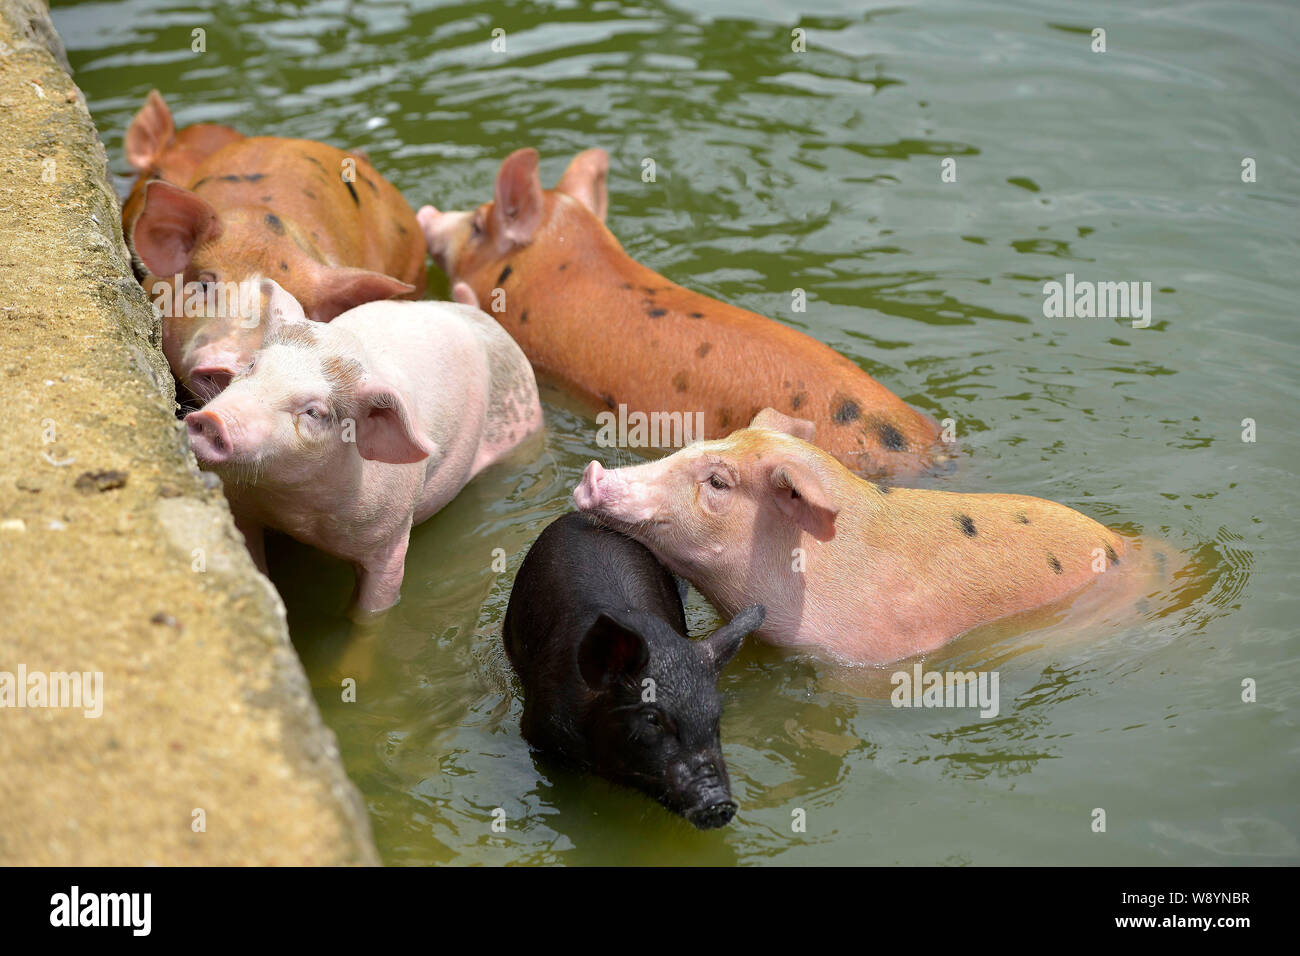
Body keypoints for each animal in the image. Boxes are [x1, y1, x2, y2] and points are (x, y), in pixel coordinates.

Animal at [185, 279, 542, 612]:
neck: (298, 511)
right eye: (252, 365)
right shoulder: (243, 508)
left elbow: (372, 610)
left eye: (314, 412)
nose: (214, 419)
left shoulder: (392, 535)